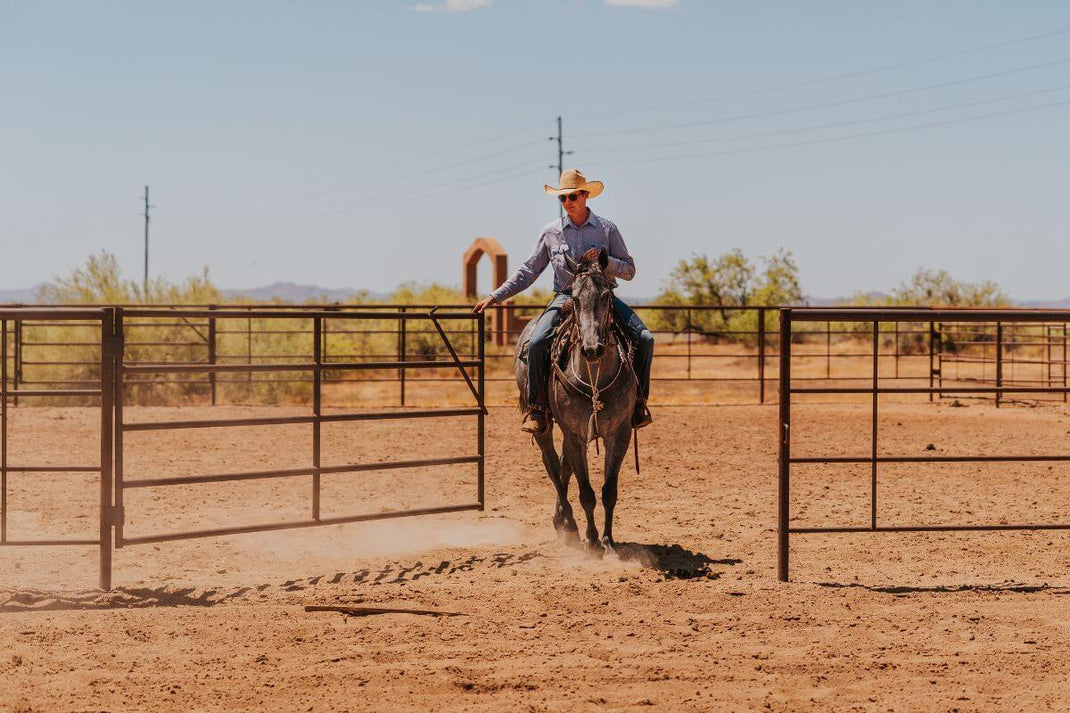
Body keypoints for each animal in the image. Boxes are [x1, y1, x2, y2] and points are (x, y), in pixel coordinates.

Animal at [514, 247, 638, 554]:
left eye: (606, 295)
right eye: (575, 297)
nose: (592, 349)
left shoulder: (619, 433)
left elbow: (609, 491)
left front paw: (608, 540)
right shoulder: (575, 433)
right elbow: (586, 493)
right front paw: (592, 541)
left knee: (563, 465)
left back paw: (561, 520)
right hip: (546, 425)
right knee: (552, 465)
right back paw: (569, 525)